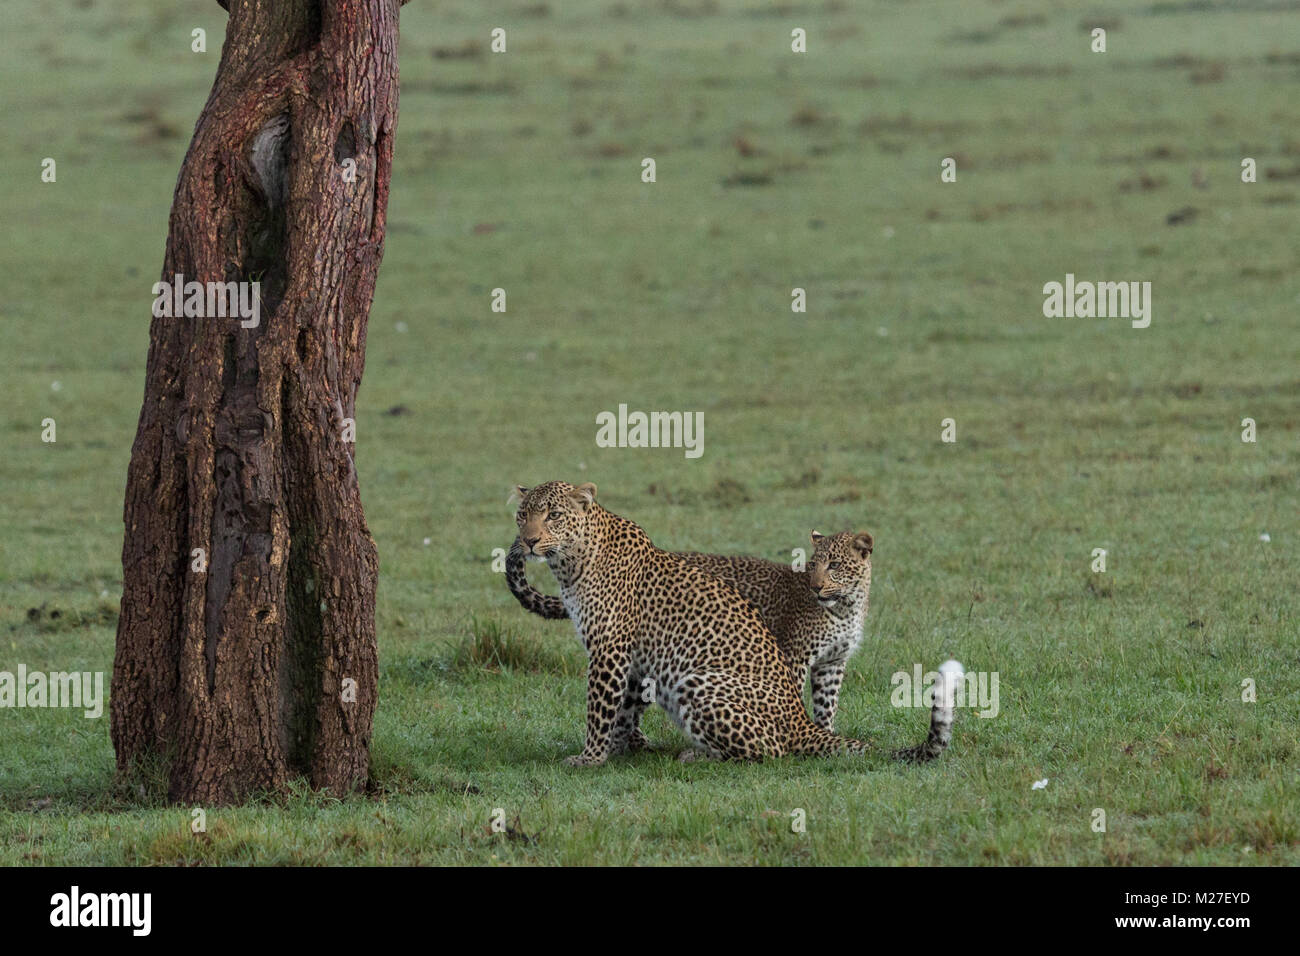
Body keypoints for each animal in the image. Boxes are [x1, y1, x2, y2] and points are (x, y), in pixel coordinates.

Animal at [506, 480, 960, 765]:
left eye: (553, 515)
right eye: (523, 515)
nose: (528, 540)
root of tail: (798, 724)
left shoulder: (609, 649)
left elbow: (599, 708)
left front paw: (590, 758)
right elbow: (617, 709)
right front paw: (612, 752)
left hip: (694, 680)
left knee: (771, 752)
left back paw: (695, 755)